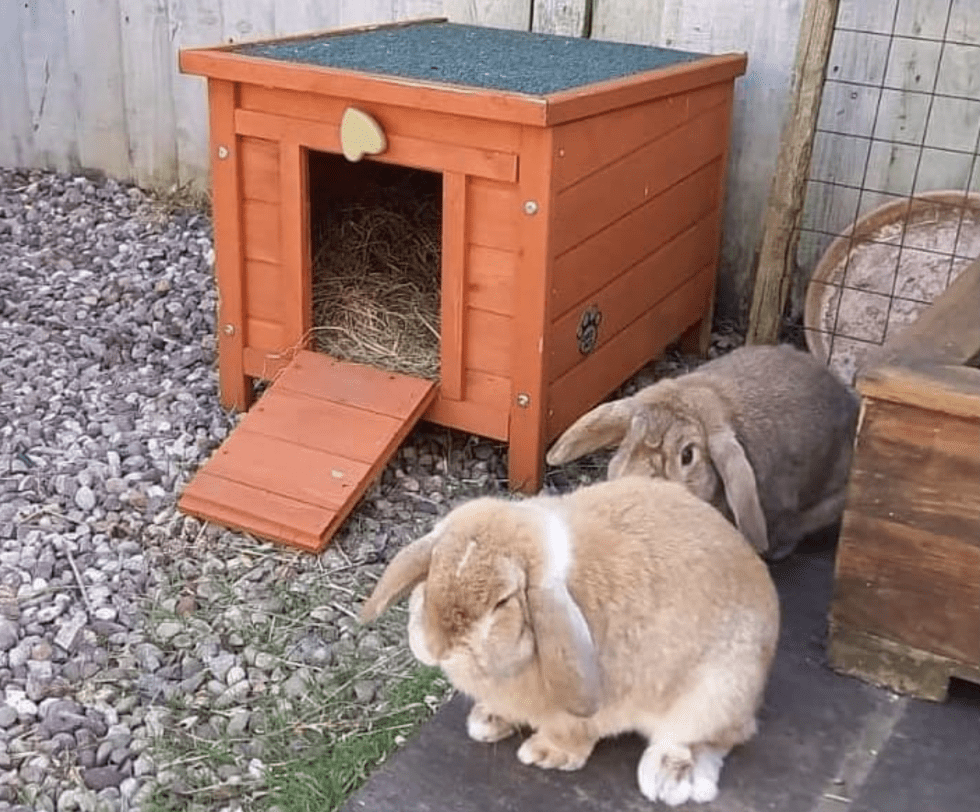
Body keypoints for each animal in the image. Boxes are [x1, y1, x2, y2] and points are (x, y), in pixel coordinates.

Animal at [360, 476, 780, 806]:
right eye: (432, 573)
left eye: (502, 601)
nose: (437, 646)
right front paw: (487, 719)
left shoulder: (584, 711)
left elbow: (573, 733)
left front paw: (545, 753)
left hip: (715, 691)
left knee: (712, 739)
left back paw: (668, 778)